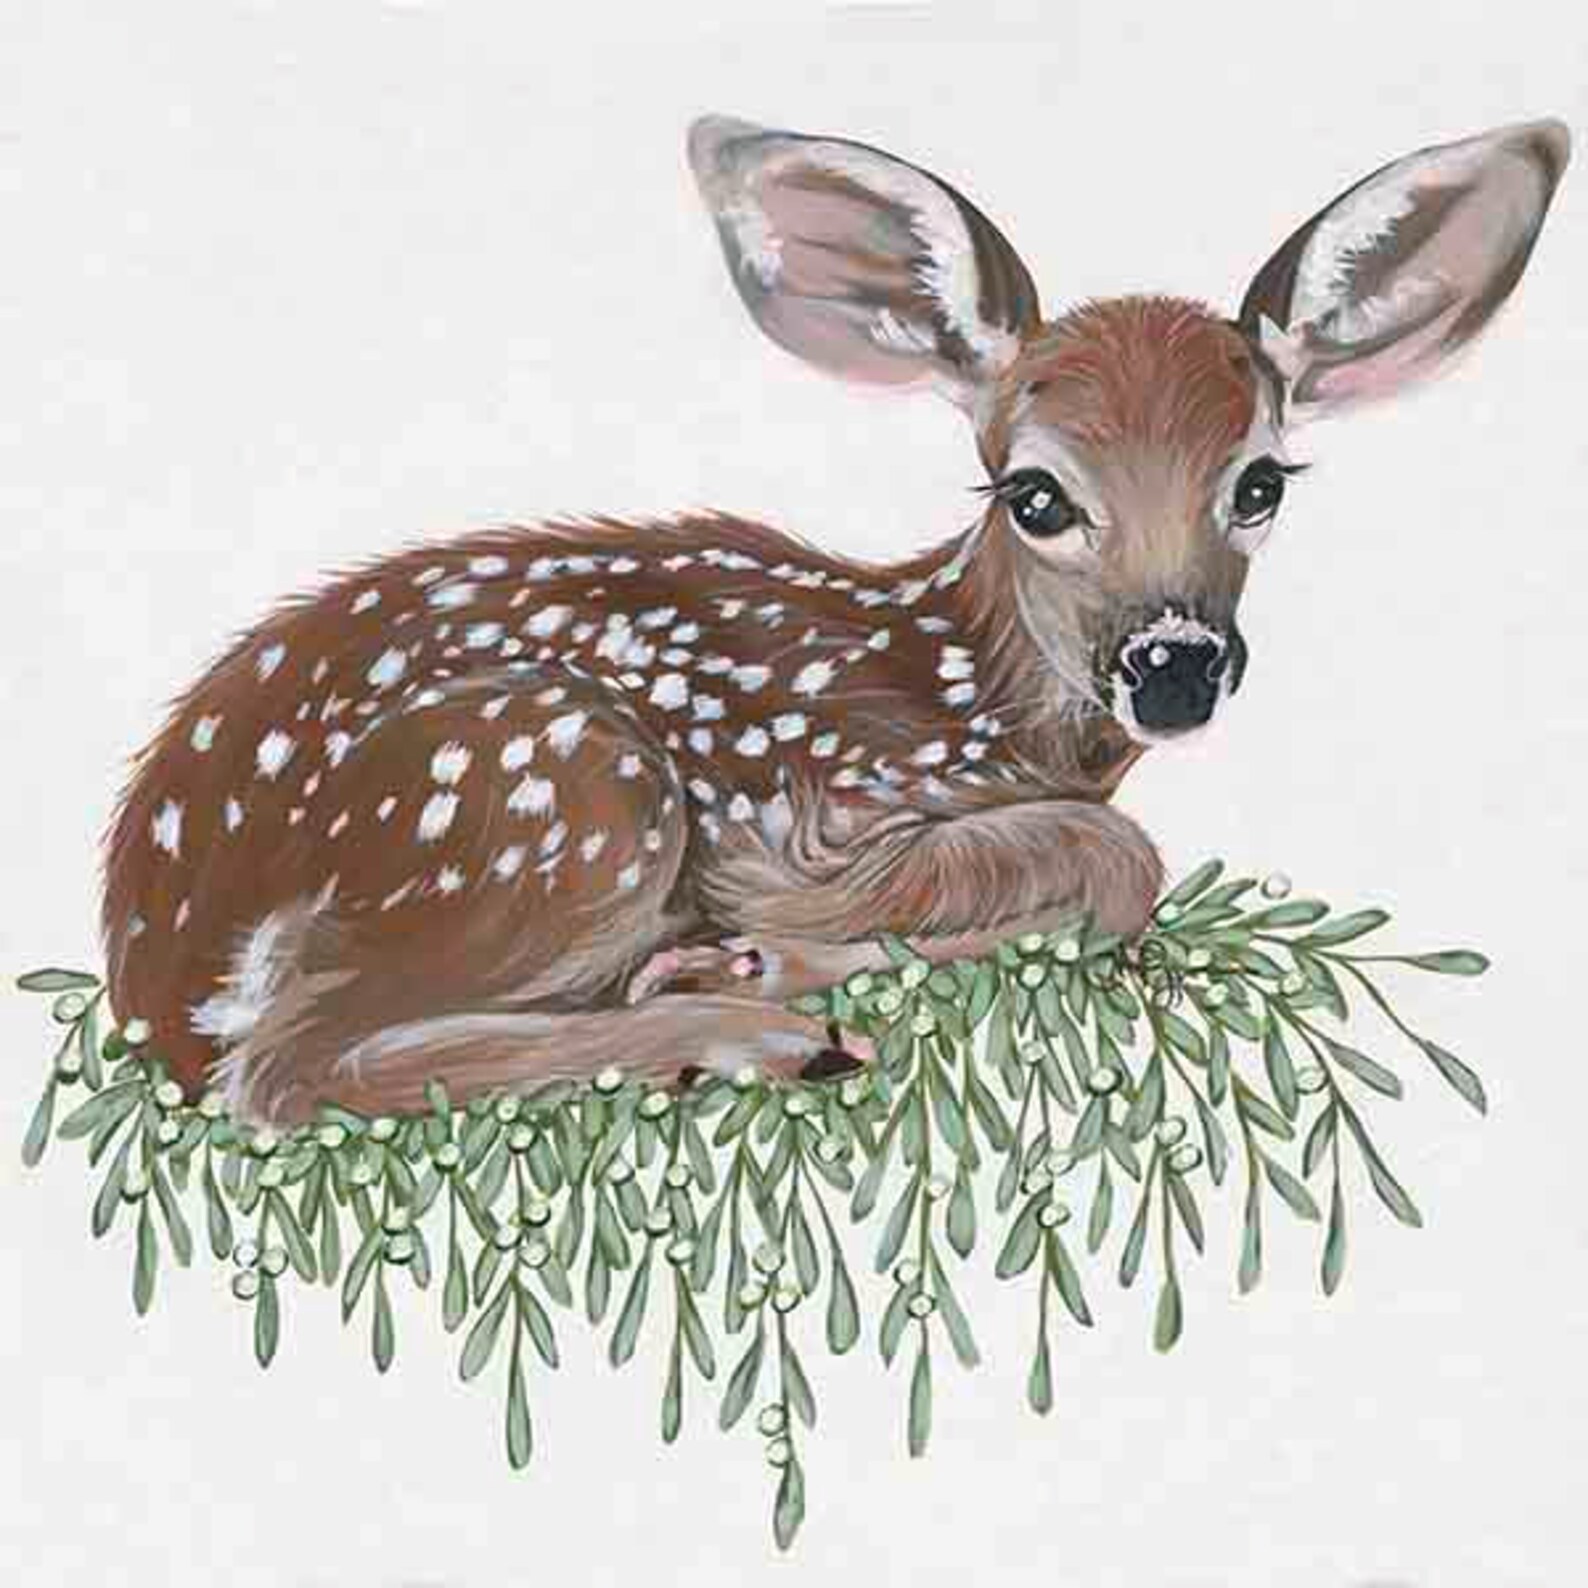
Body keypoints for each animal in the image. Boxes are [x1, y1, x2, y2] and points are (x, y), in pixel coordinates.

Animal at [100, 114, 1569, 1126]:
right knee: (281, 1072)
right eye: (1036, 493)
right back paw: (747, 1029)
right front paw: (788, 946)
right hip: (557, 788)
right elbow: (1112, 861)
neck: (980, 691)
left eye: (1259, 482)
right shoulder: (817, 799)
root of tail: (148, 957)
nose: (1174, 665)